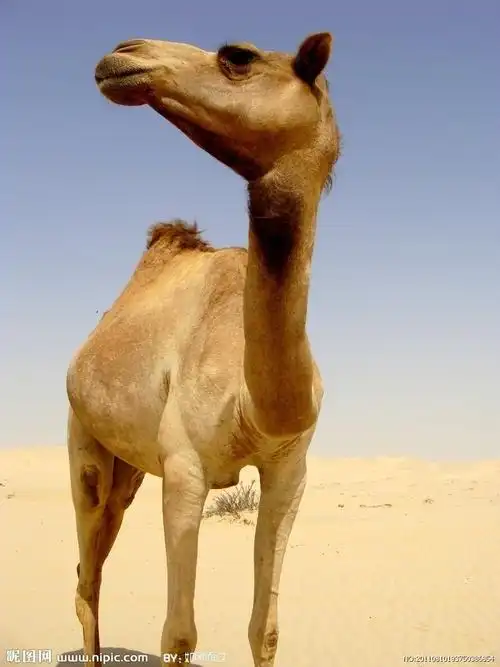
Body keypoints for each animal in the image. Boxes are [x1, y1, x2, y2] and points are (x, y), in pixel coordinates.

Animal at [66, 31, 341, 667]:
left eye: (237, 57)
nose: (123, 54)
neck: (250, 402)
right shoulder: (185, 468)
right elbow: (179, 633)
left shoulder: (290, 470)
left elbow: (264, 628)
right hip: (83, 443)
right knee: (87, 578)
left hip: (130, 469)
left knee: (95, 563)